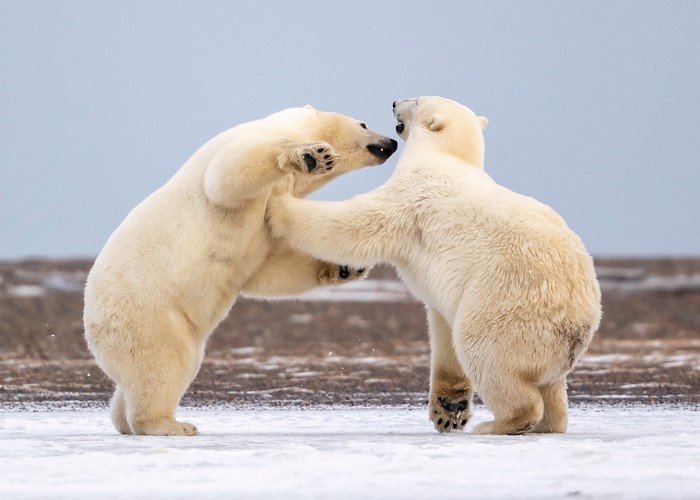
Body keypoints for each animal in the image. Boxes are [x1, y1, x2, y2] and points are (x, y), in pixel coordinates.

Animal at [83, 105, 398, 436]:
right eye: (363, 123)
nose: (391, 143)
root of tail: (93, 325)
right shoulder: (243, 144)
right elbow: (226, 177)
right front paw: (312, 156)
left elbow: (270, 267)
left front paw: (347, 266)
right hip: (148, 315)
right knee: (164, 365)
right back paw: (171, 425)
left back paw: (125, 419)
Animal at [266, 96, 602, 435]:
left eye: (416, 100)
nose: (394, 101)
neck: (448, 157)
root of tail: (577, 327)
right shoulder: (448, 290)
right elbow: (443, 330)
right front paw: (448, 408)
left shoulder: (414, 196)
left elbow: (356, 224)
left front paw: (279, 203)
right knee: (551, 388)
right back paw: (547, 423)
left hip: (506, 306)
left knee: (486, 357)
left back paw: (498, 424)